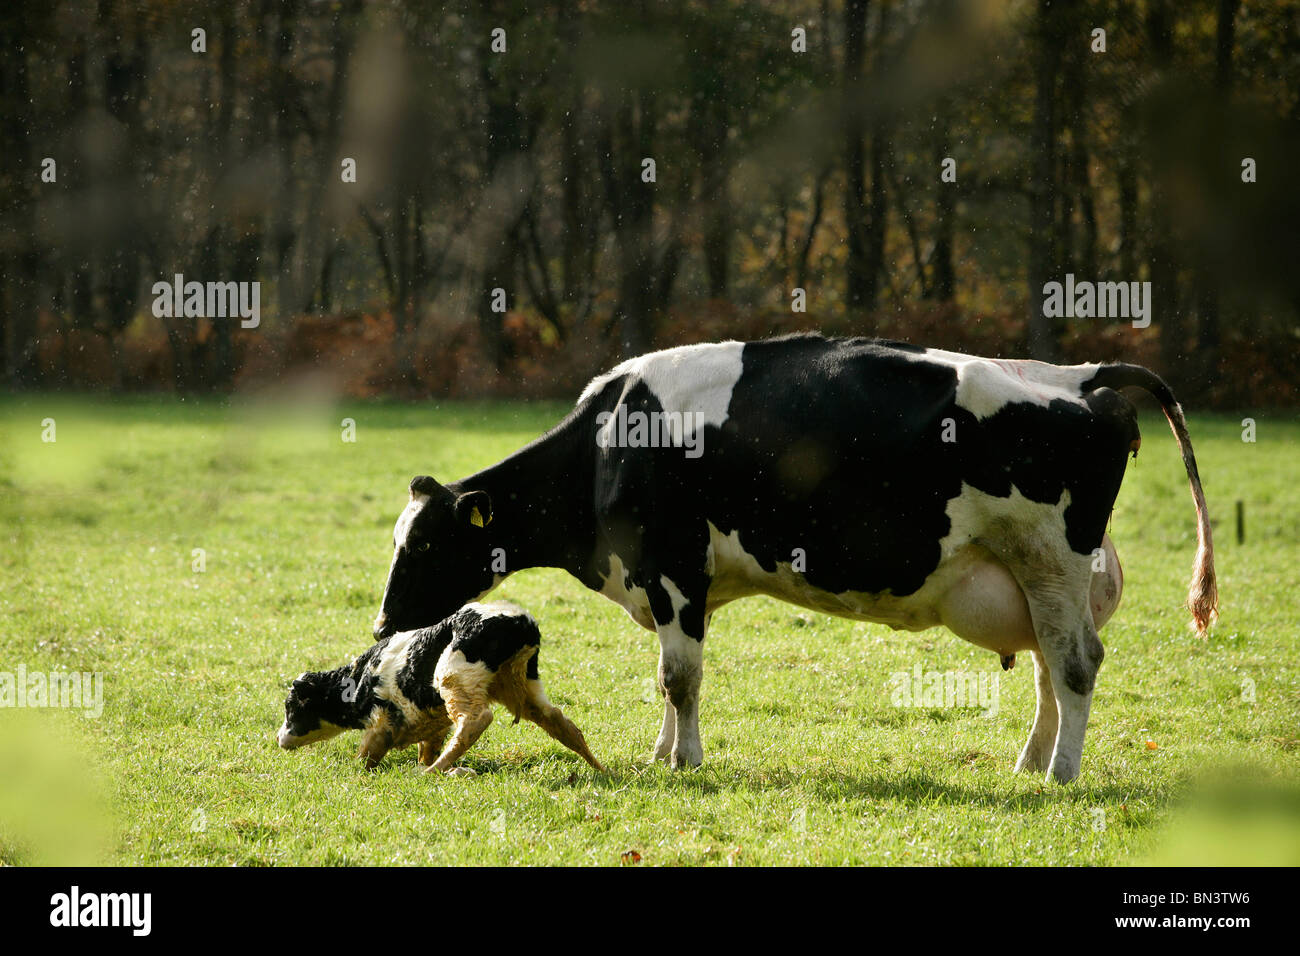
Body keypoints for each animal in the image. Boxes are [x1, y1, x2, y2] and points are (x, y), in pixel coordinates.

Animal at [372, 333, 1217, 783]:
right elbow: (669, 677)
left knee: (1075, 665)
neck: (608, 443)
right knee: (1049, 665)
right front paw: (662, 751)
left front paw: (685, 761)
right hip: (1036, 579)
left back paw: (1062, 773)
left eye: (426, 543)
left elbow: (681, 677)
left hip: (1051, 557)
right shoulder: (674, 583)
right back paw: (1030, 764)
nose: (381, 624)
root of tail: (1075, 376)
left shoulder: (676, 563)